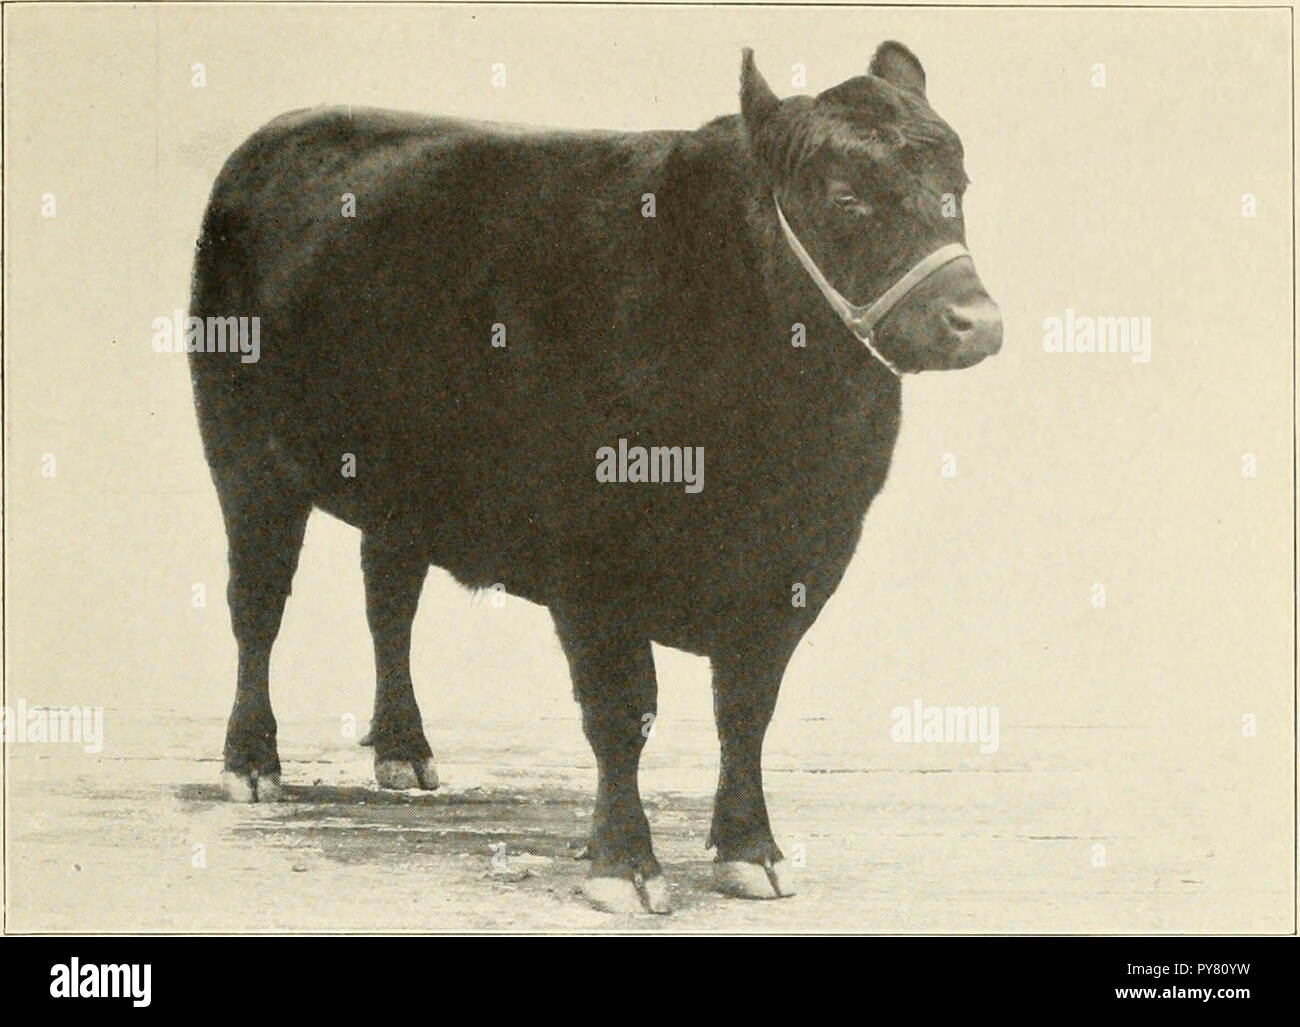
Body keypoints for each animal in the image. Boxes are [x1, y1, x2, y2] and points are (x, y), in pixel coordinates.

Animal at [188, 42, 1001, 914]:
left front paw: (752, 851)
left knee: (389, 603)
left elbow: (746, 710)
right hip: (244, 457)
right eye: (847, 198)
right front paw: (625, 864)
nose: (977, 322)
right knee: (257, 606)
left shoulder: (802, 563)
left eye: (957, 187)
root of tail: (274, 136)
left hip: (405, 487)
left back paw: (403, 750)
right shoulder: (593, 566)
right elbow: (622, 711)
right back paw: (252, 762)